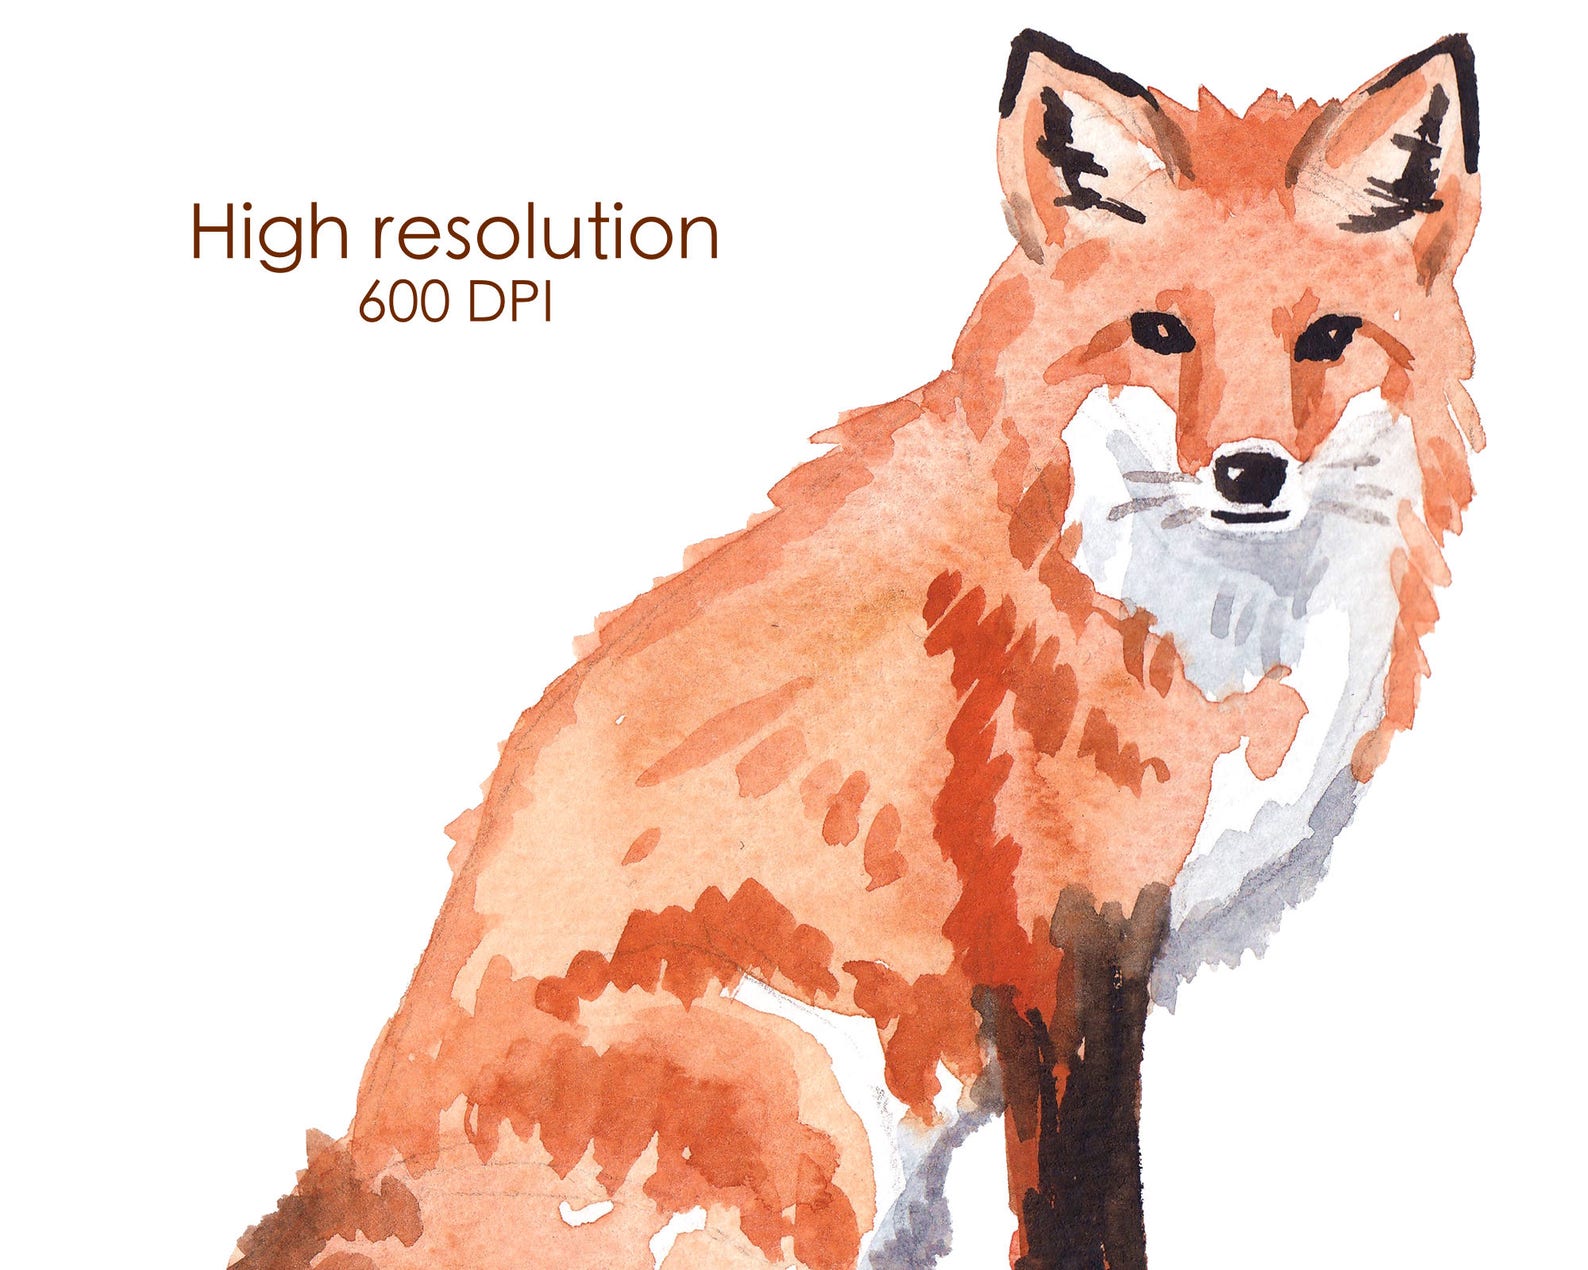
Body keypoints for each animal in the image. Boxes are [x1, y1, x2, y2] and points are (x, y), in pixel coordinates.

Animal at [233, 30, 1481, 1270]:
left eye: (1327, 337)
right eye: (1161, 333)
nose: (1249, 472)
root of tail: (350, 1174)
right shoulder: (1056, 932)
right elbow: (1082, 1208)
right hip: (816, 1097)